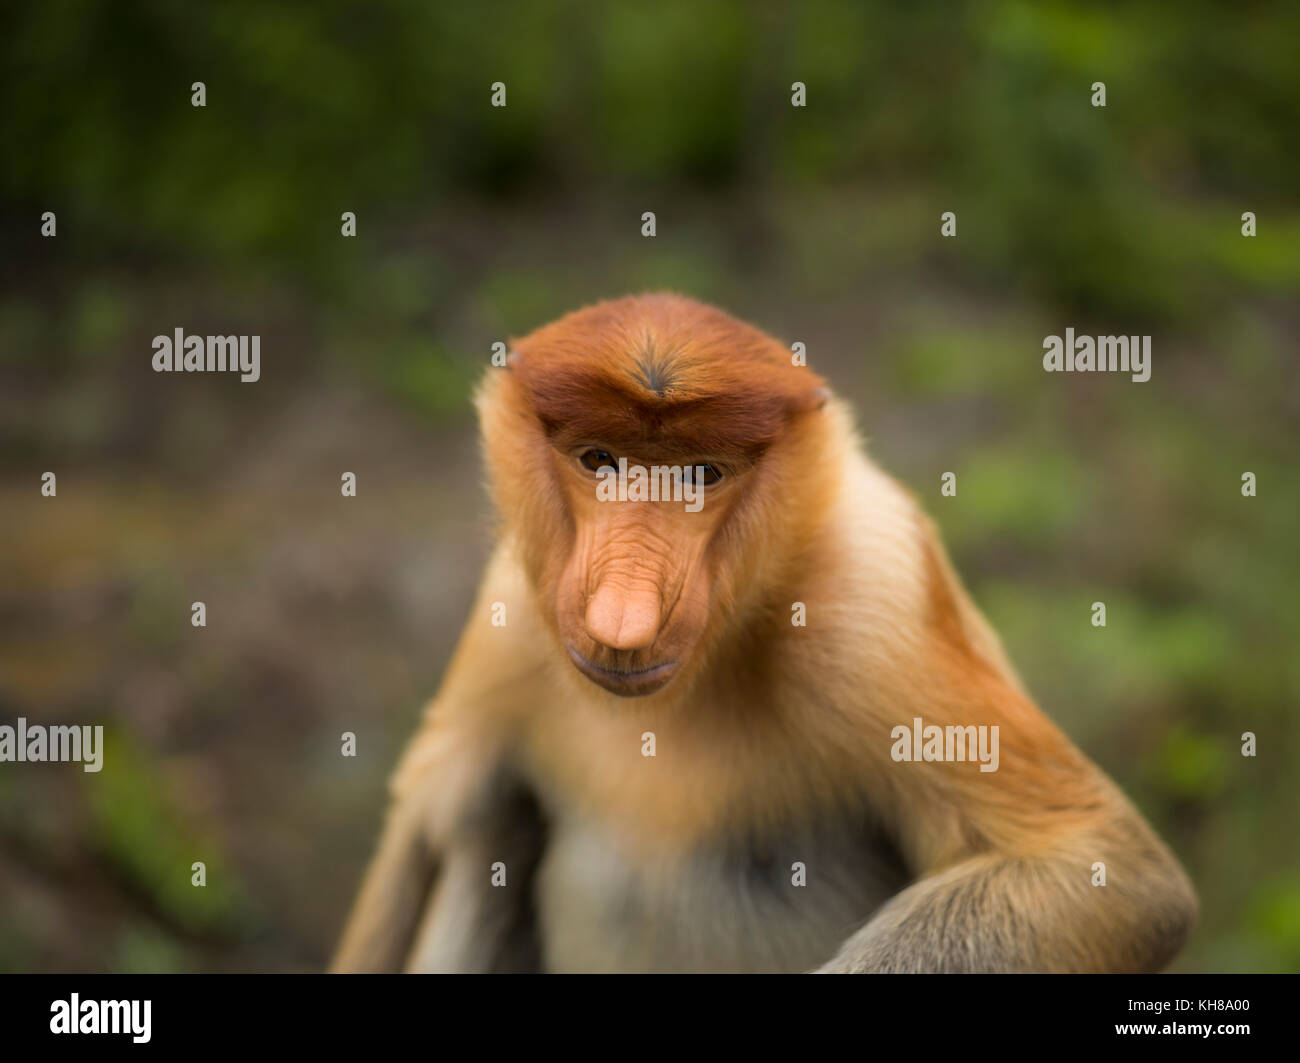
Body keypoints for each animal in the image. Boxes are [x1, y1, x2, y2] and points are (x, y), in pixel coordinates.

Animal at [331, 292, 1197, 973]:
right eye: (598, 459)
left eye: (701, 474)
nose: (623, 617)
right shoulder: (507, 618)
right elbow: (416, 838)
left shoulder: (872, 598)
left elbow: (1104, 872)